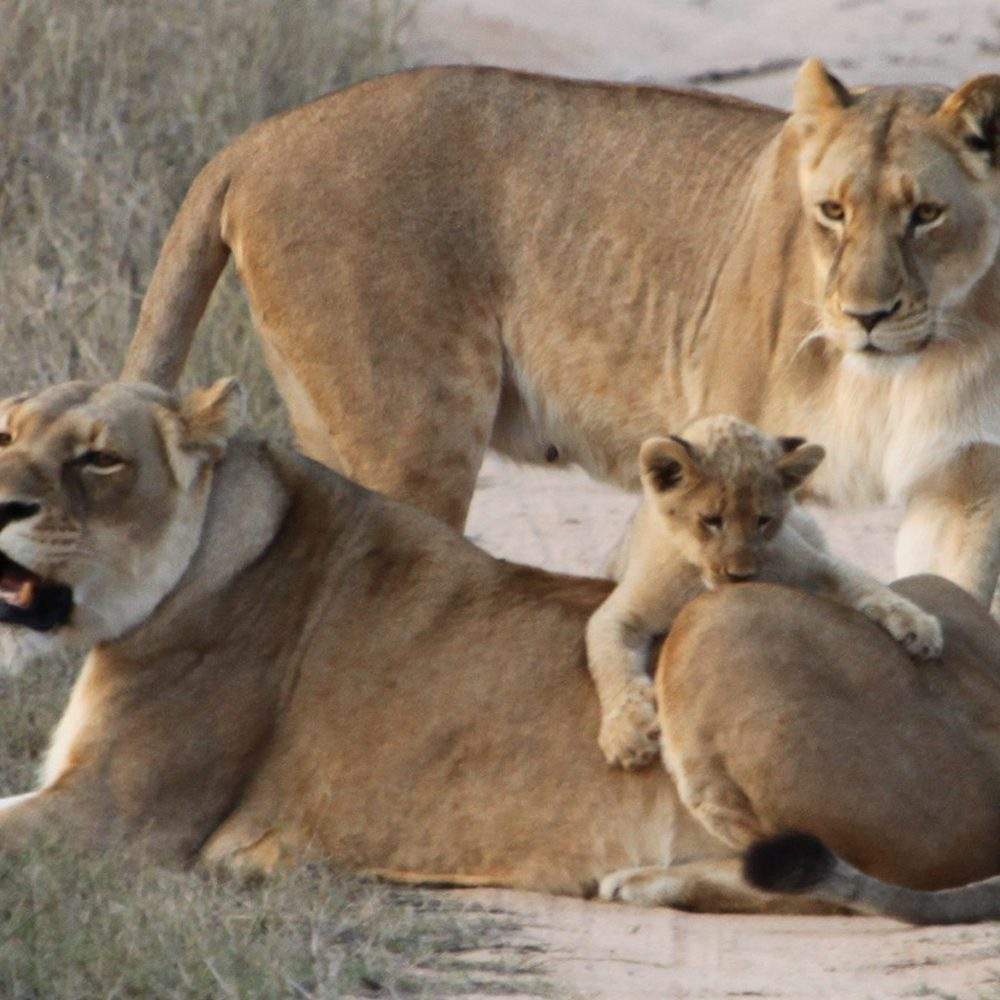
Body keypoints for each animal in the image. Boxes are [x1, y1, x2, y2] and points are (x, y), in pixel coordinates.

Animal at [120, 58, 1000, 608]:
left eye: (926, 213)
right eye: (832, 211)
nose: (866, 315)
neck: (902, 372)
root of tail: (253, 141)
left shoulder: (962, 487)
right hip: (414, 441)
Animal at [587, 415, 943, 770]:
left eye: (763, 520)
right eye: (711, 520)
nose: (740, 576)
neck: (700, 578)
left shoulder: (813, 564)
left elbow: (864, 584)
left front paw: (918, 626)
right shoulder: (621, 613)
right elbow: (613, 662)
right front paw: (629, 732)